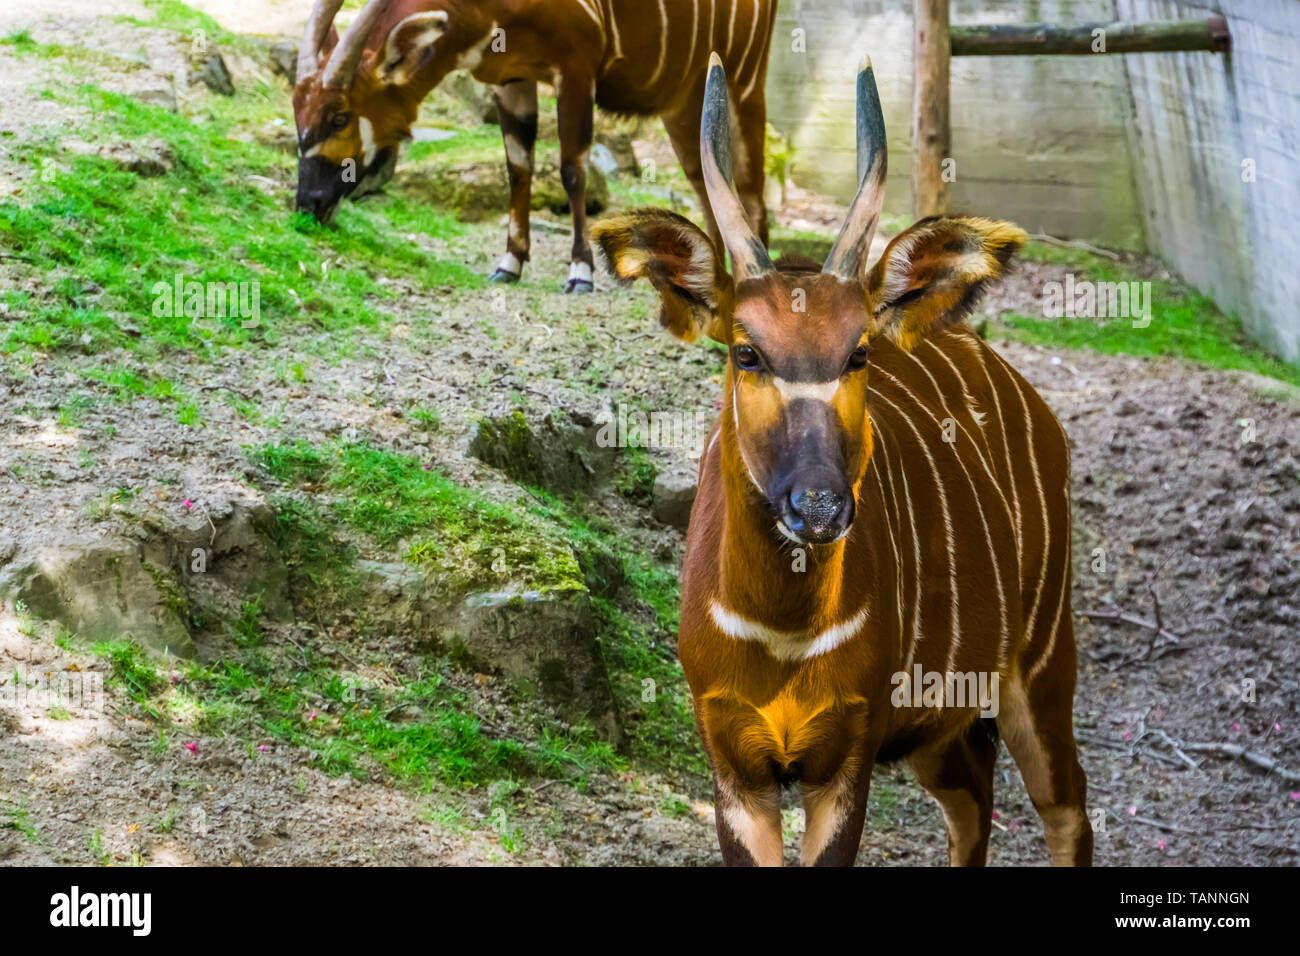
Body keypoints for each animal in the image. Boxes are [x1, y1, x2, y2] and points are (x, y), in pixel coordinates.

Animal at [292, 0, 776, 293]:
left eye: (339, 117)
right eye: (298, 110)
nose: (308, 204)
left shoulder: (576, 68)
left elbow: (572, 168)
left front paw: (580, 271)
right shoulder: (512, 79)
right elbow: (517, 167)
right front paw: (509, 263)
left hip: (744, 85)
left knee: (751, 193)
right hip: (684, 103)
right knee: (705, 181)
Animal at [593, 55, 1092, 866]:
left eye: (858, 352)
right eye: (745, 351)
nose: (819, 506)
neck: (783, 632)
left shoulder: (845, 760)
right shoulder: (736, 768)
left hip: (1042, 665)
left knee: (1065, 806)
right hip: (938, 728)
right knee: (973, 797)